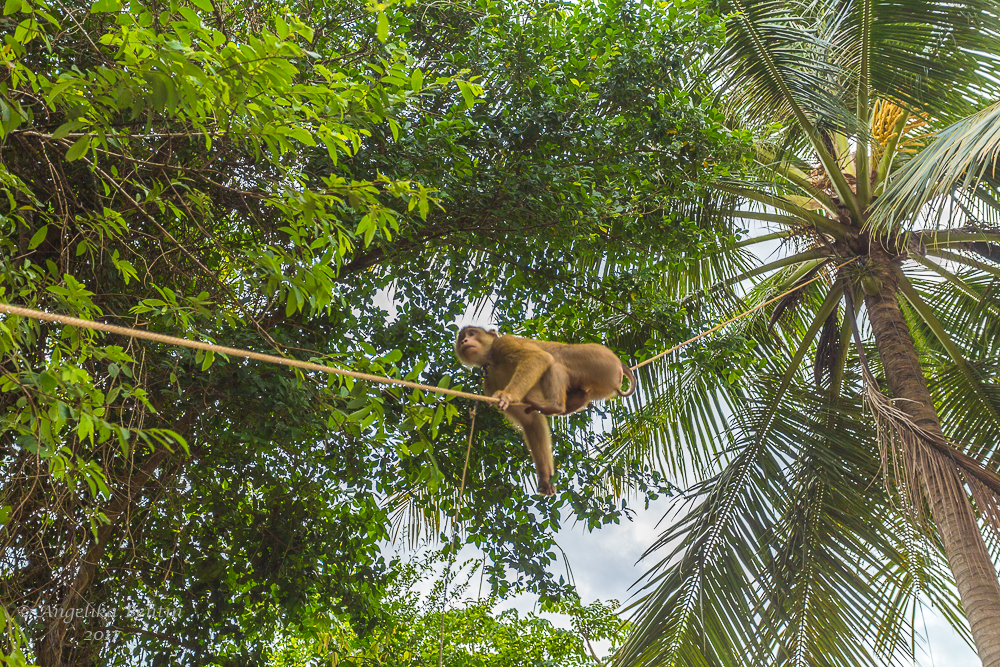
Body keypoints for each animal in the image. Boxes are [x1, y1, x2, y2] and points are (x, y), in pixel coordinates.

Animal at [454, 326, 636, 496]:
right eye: (462, 337)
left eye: (472, 333)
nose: (464, 341)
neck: (491, 360)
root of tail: (618, 364)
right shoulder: (490, 384)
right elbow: (531, 422)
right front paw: (545, 478)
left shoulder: (503, 343)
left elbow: (537, 358)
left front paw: (509, 395)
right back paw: (574, 400)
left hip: (597, 360)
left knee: (554, 360)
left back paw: (555, 405)